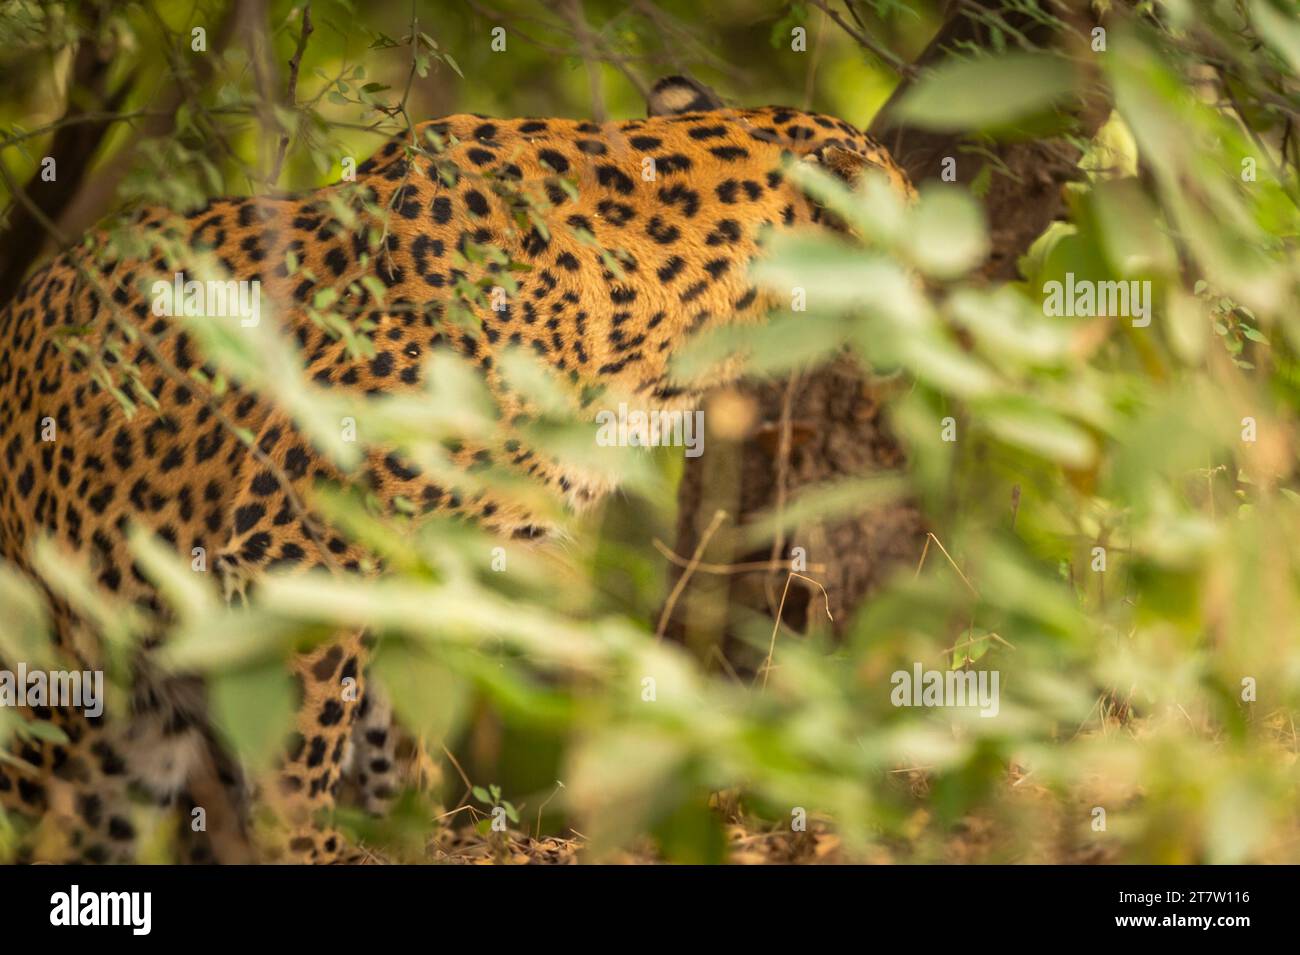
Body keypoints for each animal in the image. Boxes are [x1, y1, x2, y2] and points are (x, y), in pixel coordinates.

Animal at [0, 75, 912, 863]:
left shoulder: (433, 563)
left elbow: (400, 716)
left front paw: (412, 827)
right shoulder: (301, 540)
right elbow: (302, 735)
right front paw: (307, 844)